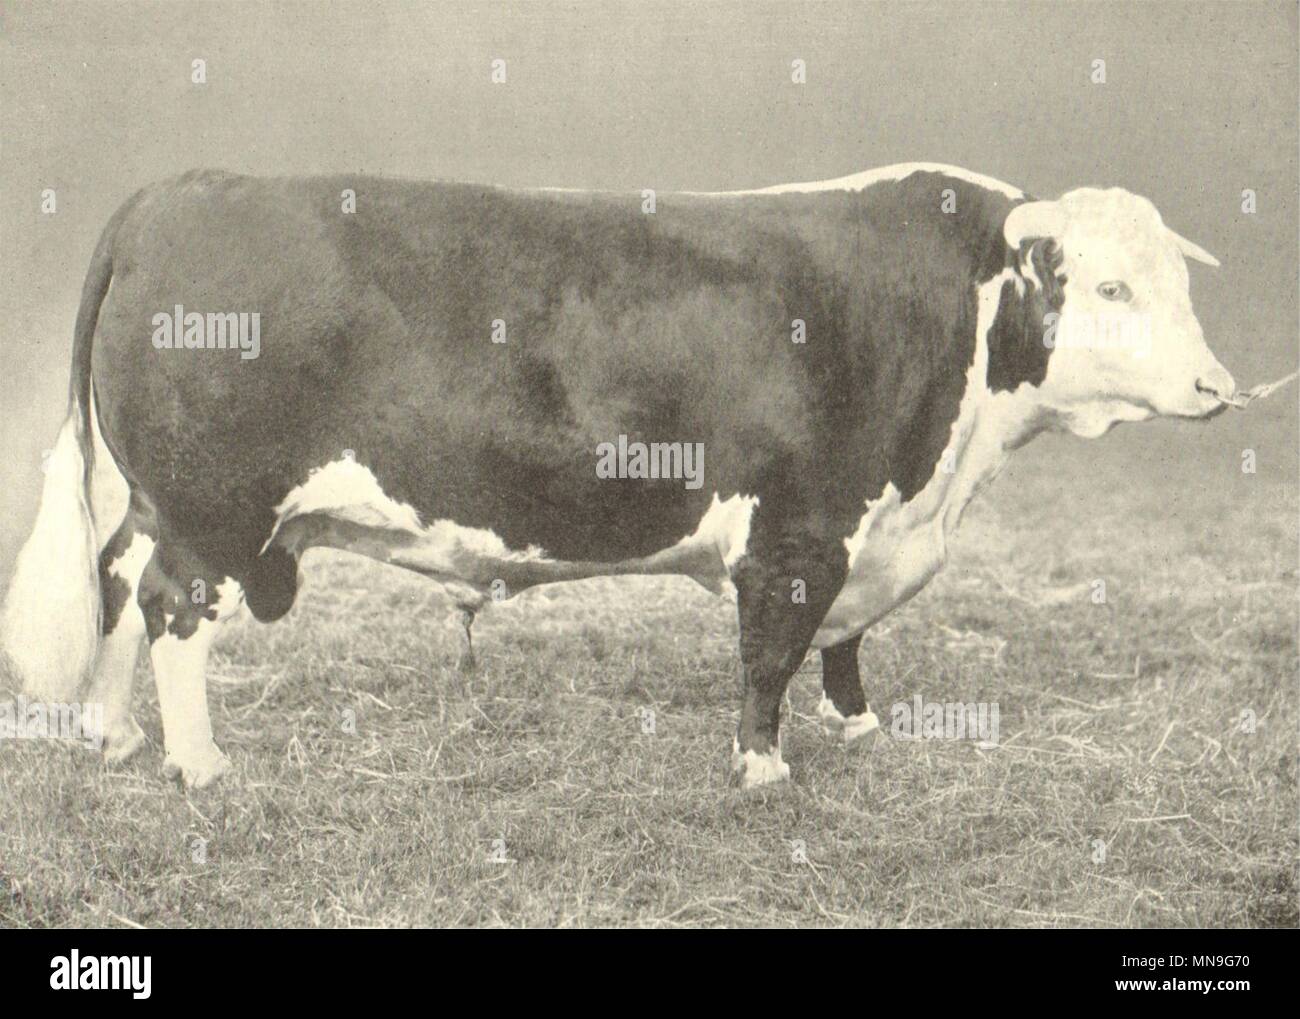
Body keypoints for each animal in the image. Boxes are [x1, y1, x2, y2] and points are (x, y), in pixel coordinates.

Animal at [0, 162, 1236, 789]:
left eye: (1175, 280)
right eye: (1111, 287)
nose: (1218, 385)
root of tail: (181, 190)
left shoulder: (870, 530)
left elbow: (844, 645)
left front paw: (860, 729)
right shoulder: (799, 530)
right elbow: (771, 651)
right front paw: (764, 772)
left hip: (162, 502)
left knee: (118, 583)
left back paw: (112, 735)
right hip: (214, 511)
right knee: (172, 607)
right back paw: (200, 764)